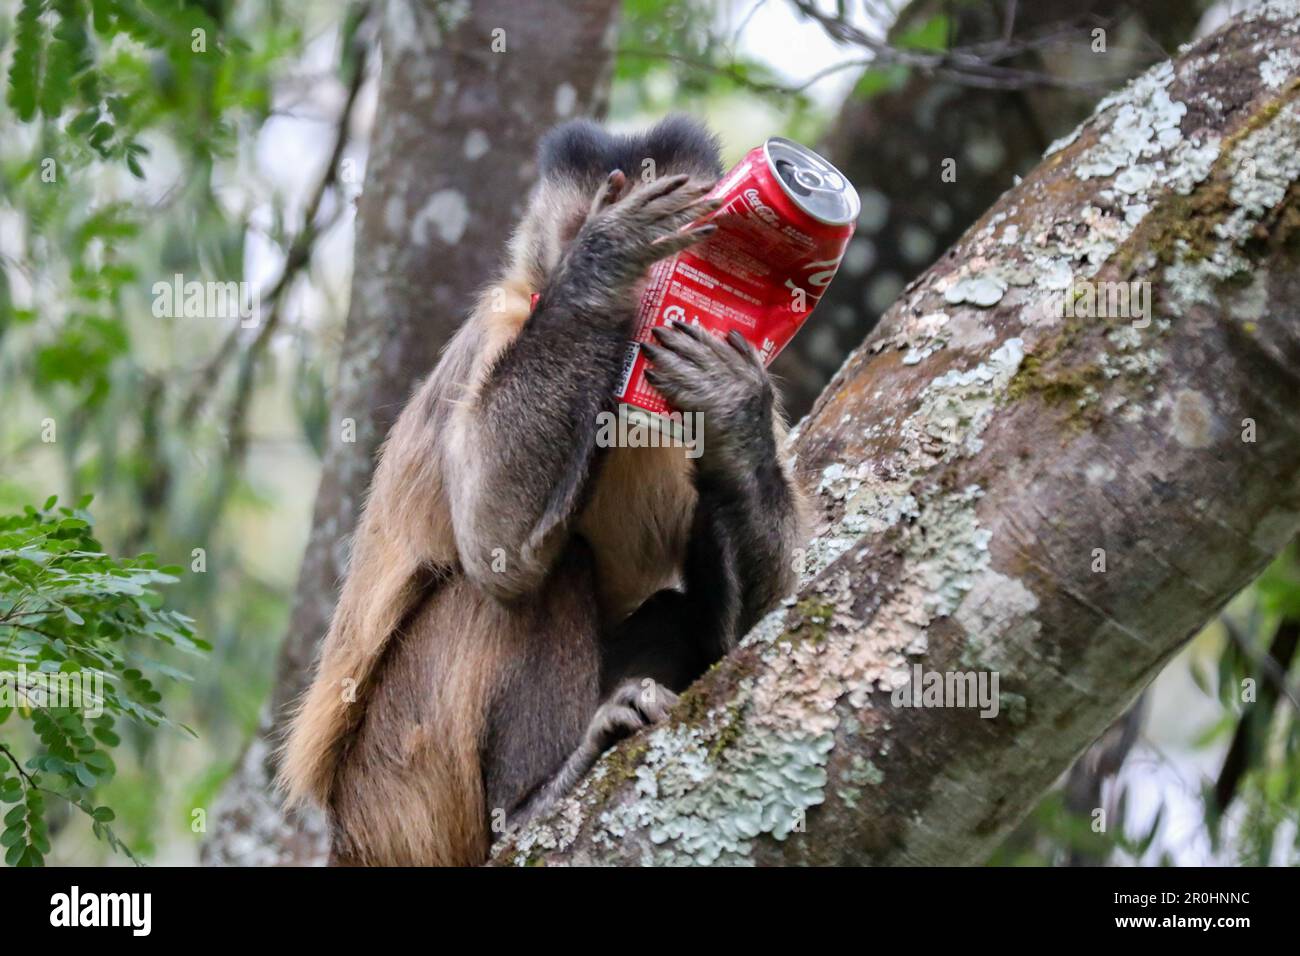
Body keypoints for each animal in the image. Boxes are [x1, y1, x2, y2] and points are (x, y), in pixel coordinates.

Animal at [278, 115, 807, 866]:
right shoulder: (500, 328)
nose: (649, 292)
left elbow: (755, 631)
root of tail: (347, 836)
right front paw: (608, 258)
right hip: (402, 789)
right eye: (589, 221)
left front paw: (729, 405)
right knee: (523, 575)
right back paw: (534, 801)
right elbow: (494, 536)